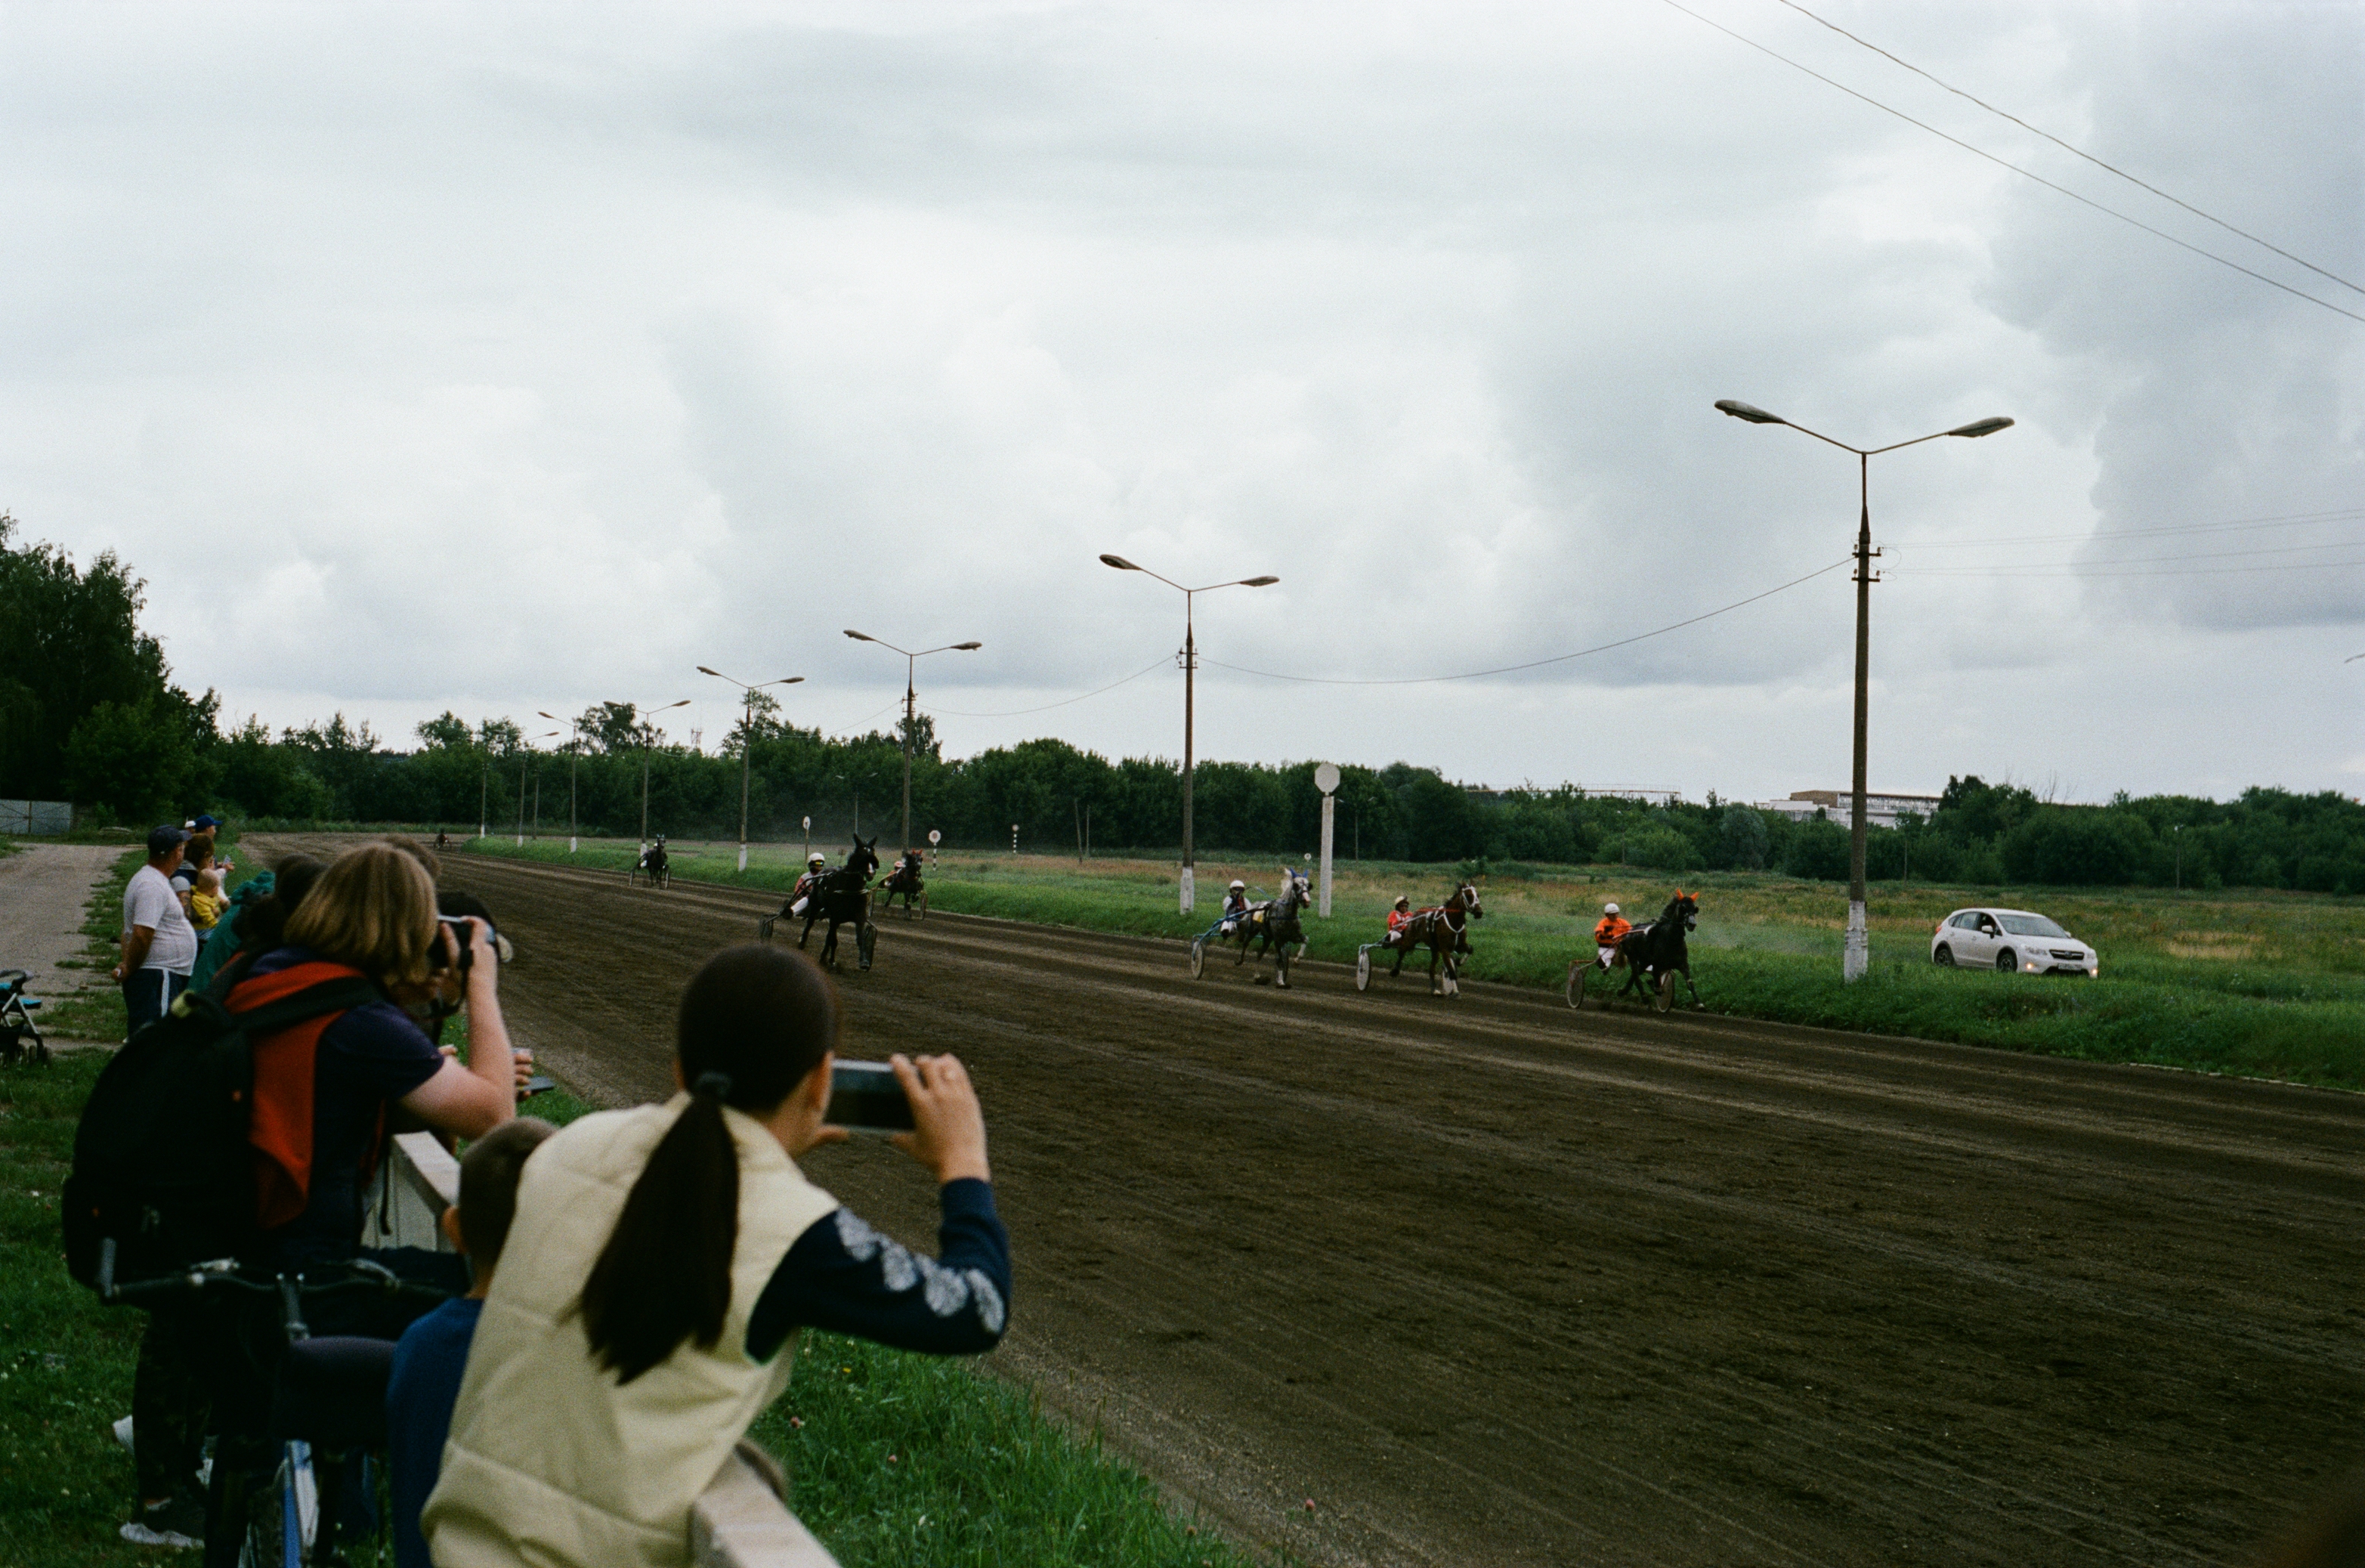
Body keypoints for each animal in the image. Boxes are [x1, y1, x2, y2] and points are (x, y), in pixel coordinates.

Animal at [1362, 874, 1485, 997]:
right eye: (1469, 896)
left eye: (1478, 895)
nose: (1479, 912)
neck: (1453, 921)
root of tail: (1415, 915)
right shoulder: (1445, 949)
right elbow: (1451, 971)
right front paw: (1455, 992)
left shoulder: (1459, 945)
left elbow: (1470, 950)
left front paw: (1459, 961)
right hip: (1410, 940)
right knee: (1401, 951)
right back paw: (1392, 970)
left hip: (1434, 949)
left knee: (1431, 969)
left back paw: (1434, 990)